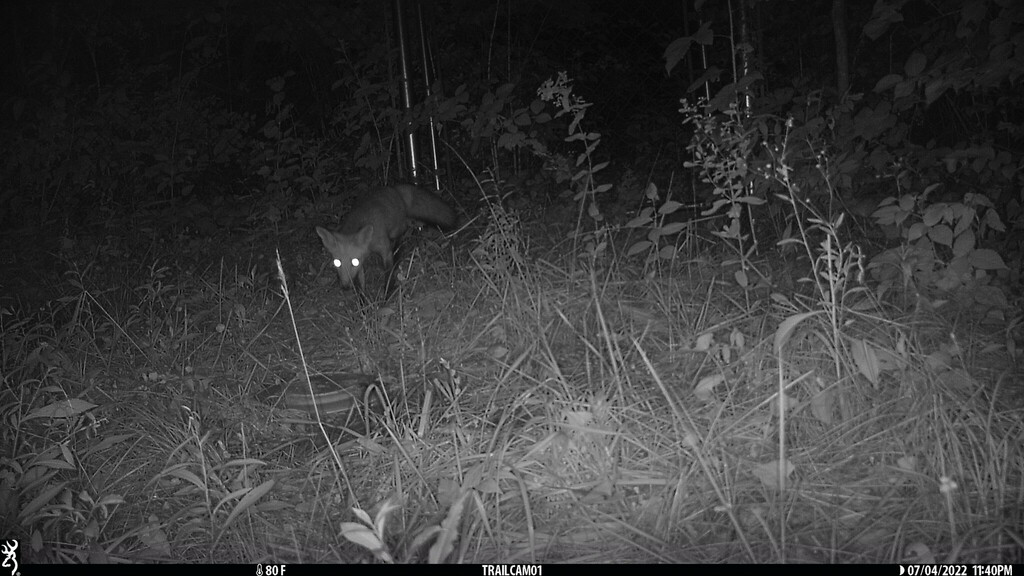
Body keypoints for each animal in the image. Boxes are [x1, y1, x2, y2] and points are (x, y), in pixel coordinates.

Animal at [315, 184, 456, 289]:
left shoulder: (384, 250)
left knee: (400, 239)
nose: (345, 287)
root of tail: (394, 189)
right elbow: (360, 286)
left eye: (354, 262)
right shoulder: (360, 264)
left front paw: (386, 297)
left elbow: (388, 276)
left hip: (396, 231)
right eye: (337, 262)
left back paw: (397, 255)